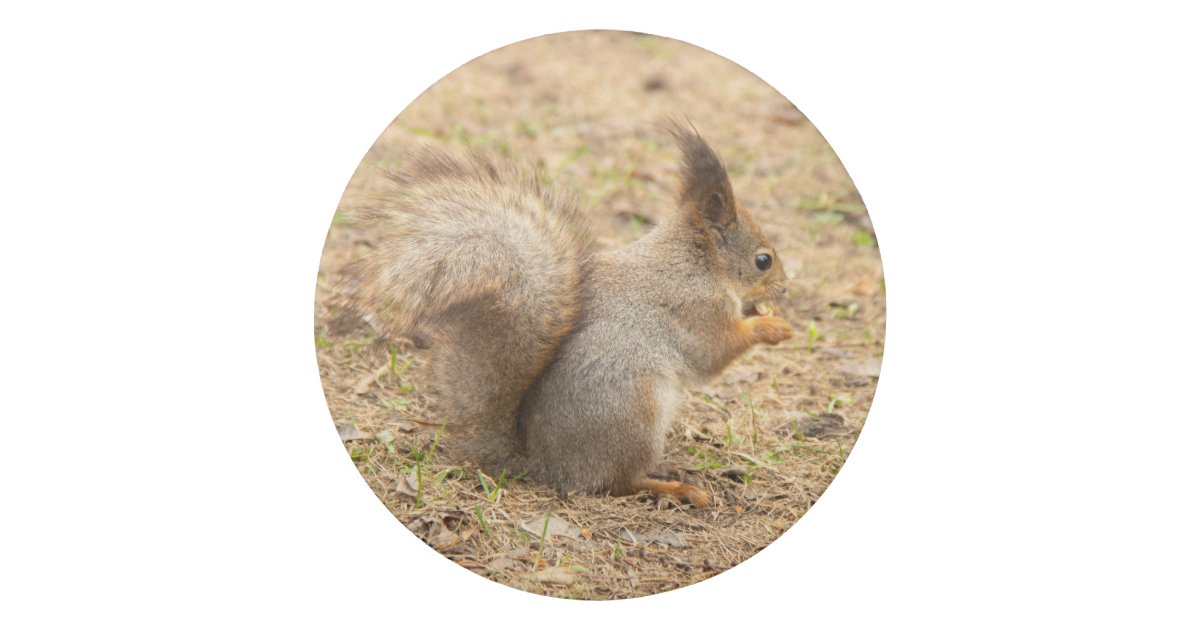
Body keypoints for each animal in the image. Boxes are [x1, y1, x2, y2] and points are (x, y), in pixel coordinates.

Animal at [336, 123, 793, 508]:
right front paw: (772, 326)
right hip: (634, 410)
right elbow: (714, 353)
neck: (697, 262)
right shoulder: (696, 308)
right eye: (763, 260)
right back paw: (673, 487)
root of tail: (547, 467)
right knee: (617, 483)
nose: (785, 289)